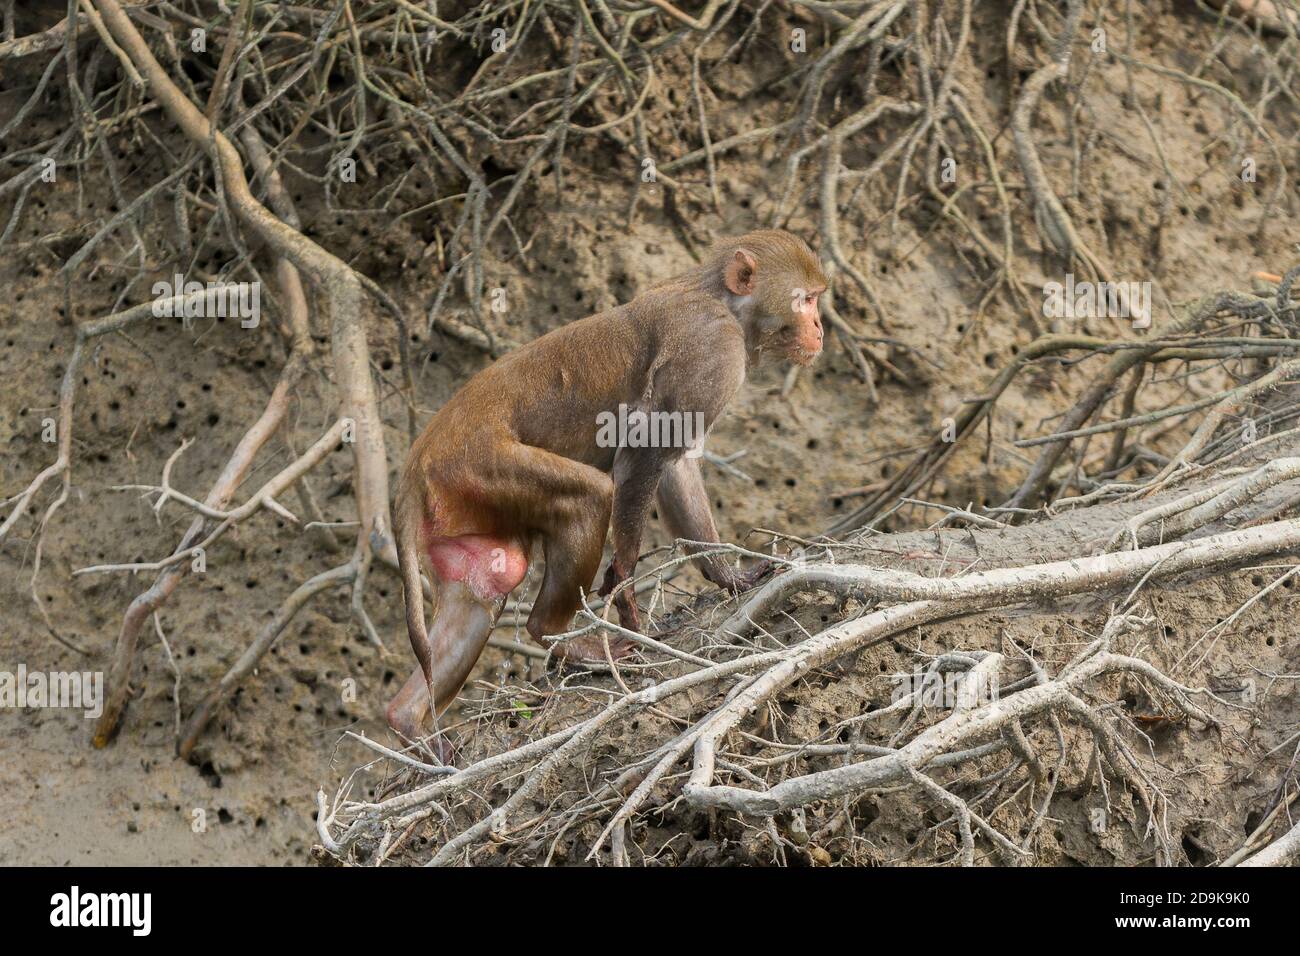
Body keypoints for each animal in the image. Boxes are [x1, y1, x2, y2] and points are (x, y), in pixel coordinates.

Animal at [386, 229, 827, 754]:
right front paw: (625, 592)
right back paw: (560, 638)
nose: (820, 328)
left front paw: (728, 577)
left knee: (489, 579)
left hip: (462, 497)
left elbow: (677, 468)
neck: (722, 302)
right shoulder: (710, 347)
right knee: (588, 499)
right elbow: (644, 452)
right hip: (477, 463)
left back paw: (409, 722)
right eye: (805, 300)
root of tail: (418, 458)